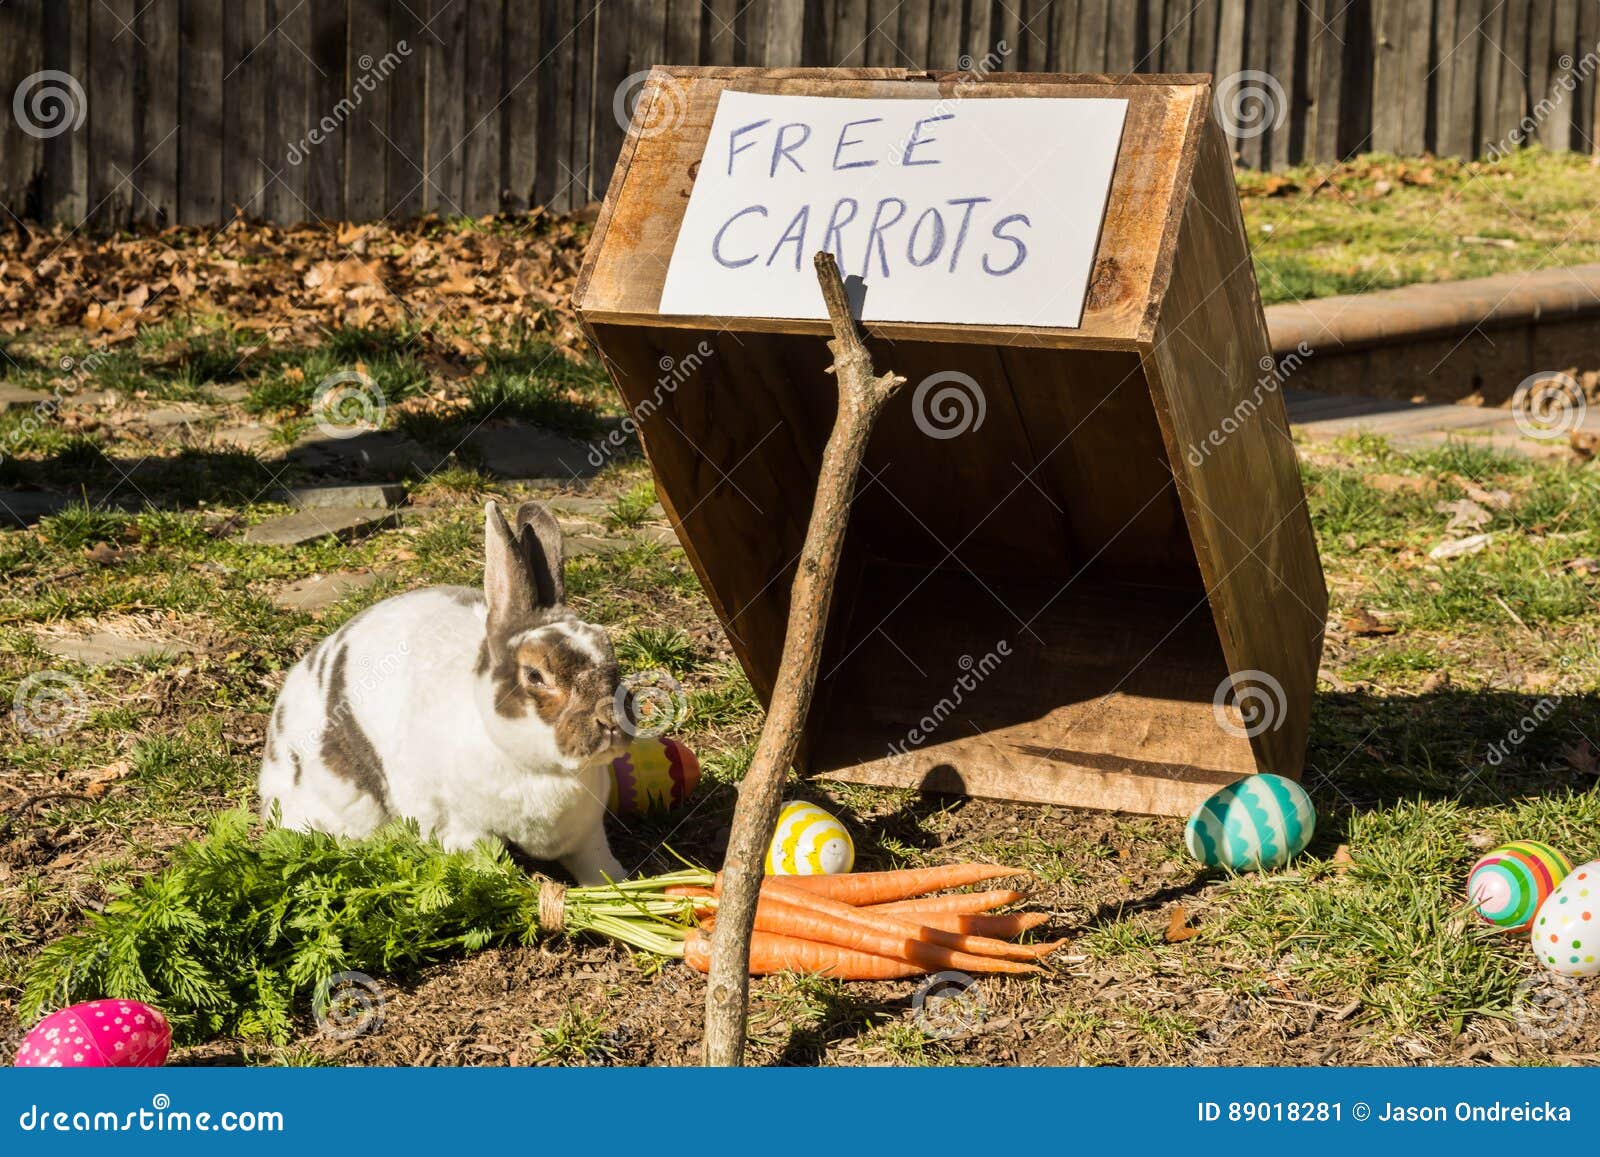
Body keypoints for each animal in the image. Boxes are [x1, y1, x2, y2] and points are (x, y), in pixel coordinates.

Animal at [258, 499, 630, 885]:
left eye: (609, 650)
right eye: (535, 675)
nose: (612, 720)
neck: (538, 770)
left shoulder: (586, 834)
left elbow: (598, 864)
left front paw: (619, 885)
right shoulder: (460, 829)